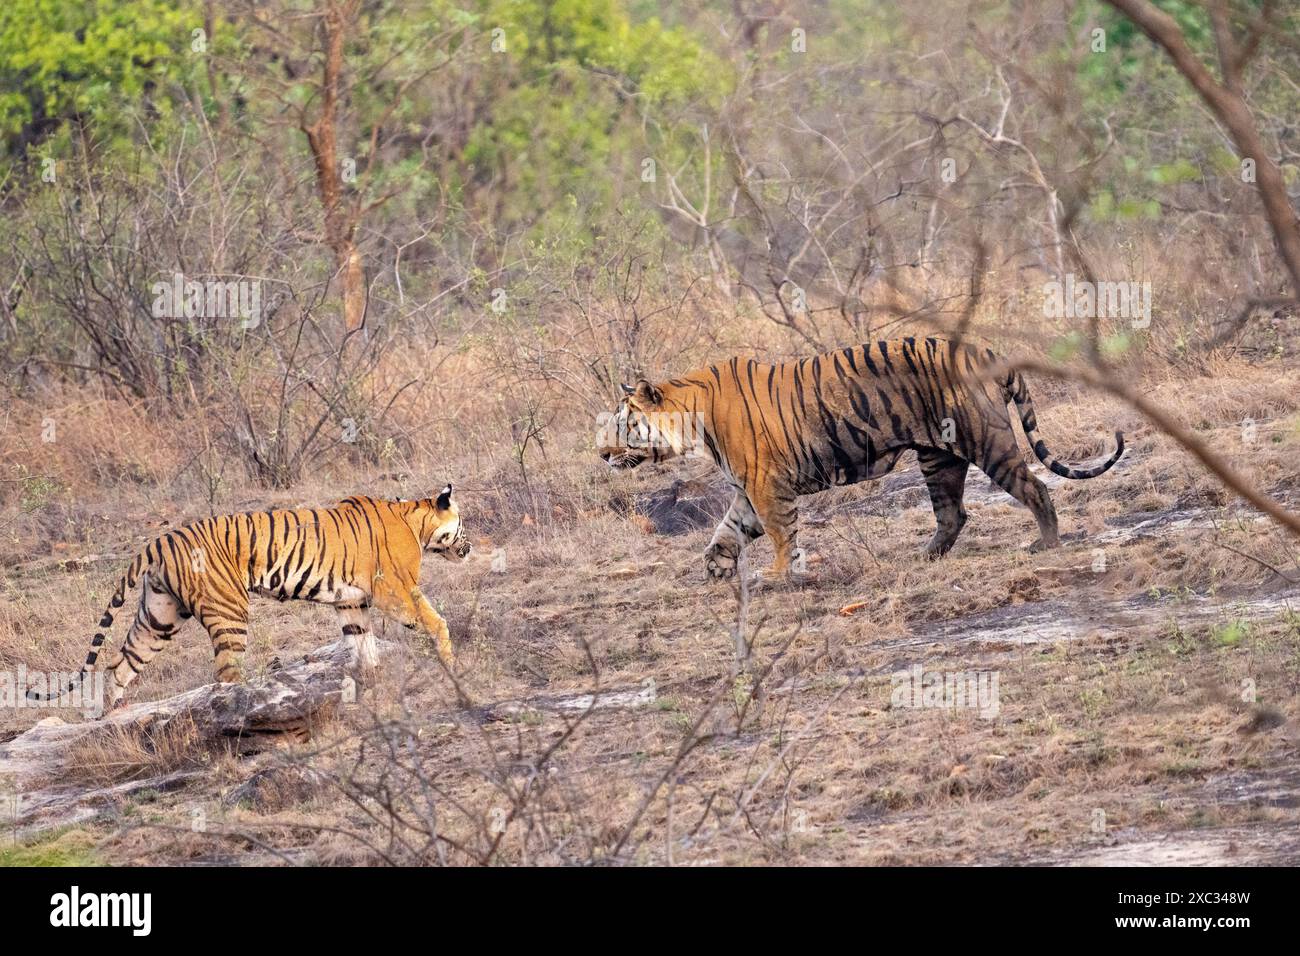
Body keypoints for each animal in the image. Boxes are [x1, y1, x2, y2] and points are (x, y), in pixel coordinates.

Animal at [27, 486, 470, 710]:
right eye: (463, 524)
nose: (469, 547)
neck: (414, 520)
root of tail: (156, 542)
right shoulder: (393, 590)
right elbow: (435, 621)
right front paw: (452, 666)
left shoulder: (351, 603)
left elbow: (364, 647)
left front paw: (373, 688)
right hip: (229, 611)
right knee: (225, 673)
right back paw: (244, 710)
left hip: (159, 617)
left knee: (119, 665)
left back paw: (109, 719)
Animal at [597, 337, 1124, 581]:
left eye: (624, 424)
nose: (602, 455)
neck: (694, 419)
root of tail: (986, 350)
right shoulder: (747, 491)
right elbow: (726, 532)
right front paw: (717, 569)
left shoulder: (766, 484)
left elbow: (781, 533)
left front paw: (778, 574)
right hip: (938, 457)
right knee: (953, 513)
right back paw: (925, 556)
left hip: (986, 440)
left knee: (1034, 488)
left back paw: (1046, 544)